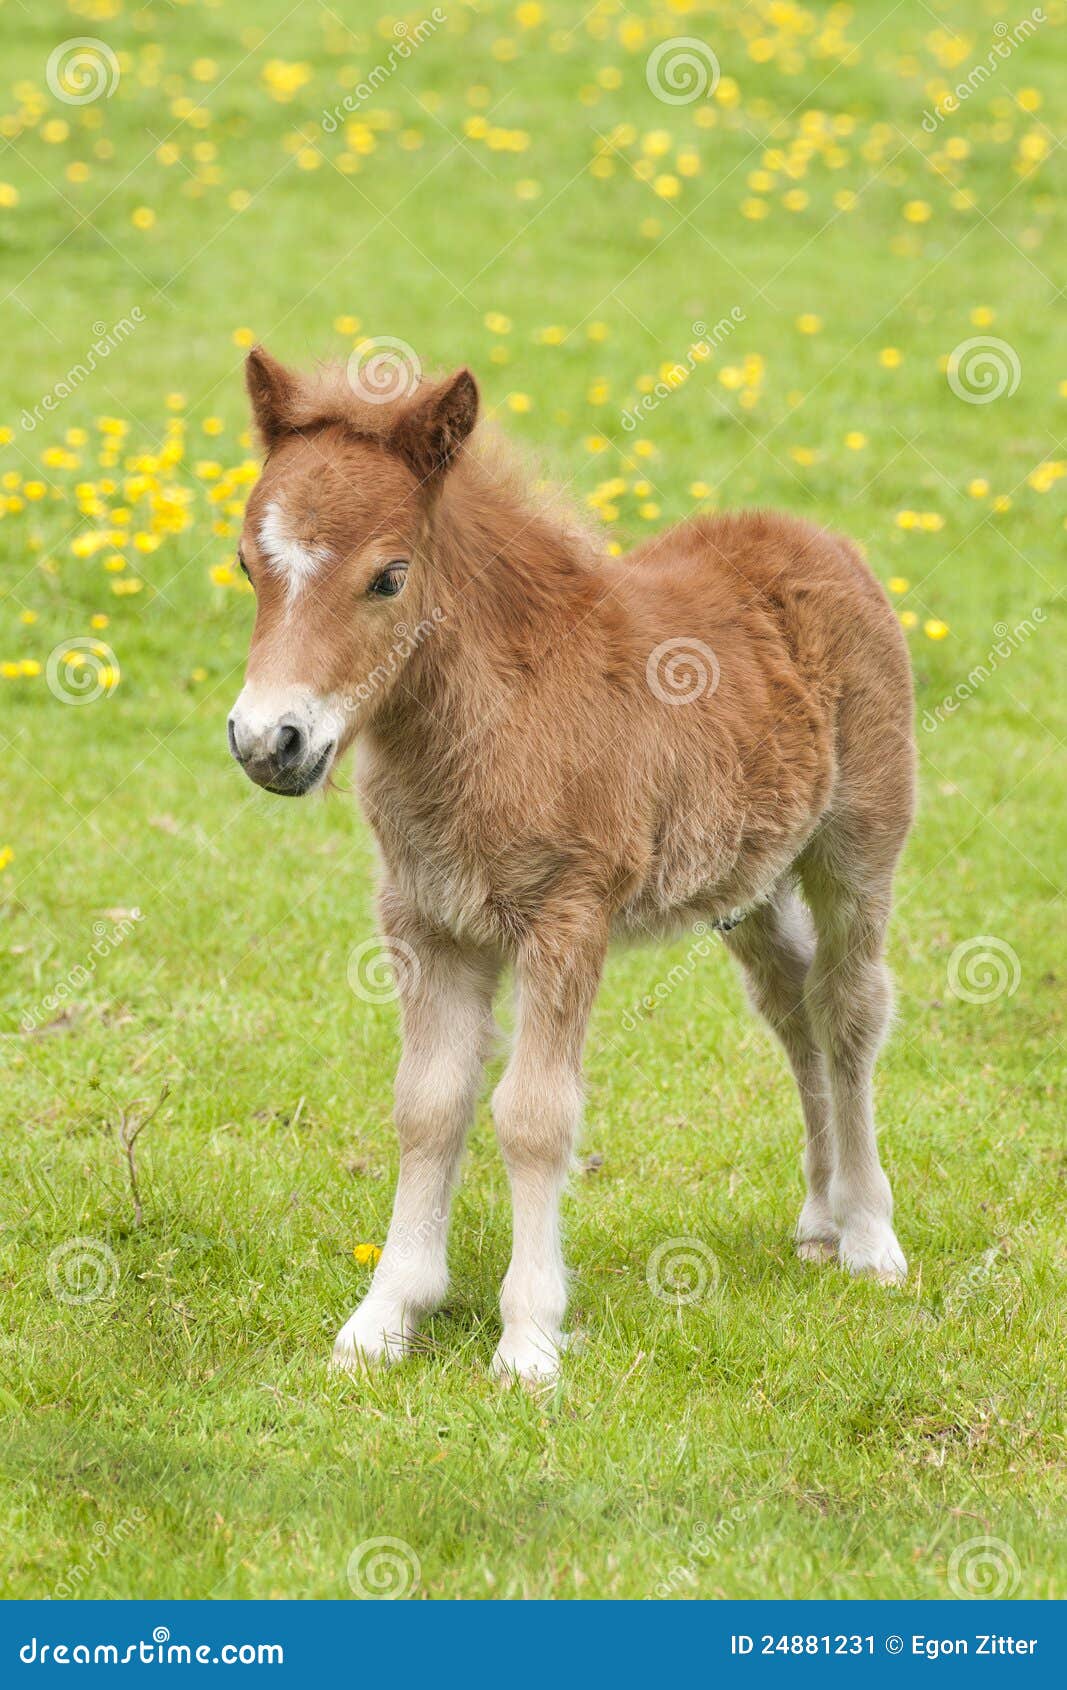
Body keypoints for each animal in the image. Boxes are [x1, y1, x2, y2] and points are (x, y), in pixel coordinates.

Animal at [227, 345, 915, 1381]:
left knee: (848, 1011)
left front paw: (527, 1341)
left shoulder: (567, 917)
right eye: (246, 562)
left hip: (856, 849)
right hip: (745, 884)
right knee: (792, 1007)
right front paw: (384, 1319)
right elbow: (427, 1105)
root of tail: (819, 539)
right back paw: (819, 1220)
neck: (494, 717)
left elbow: (533, 1116)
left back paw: (870, 1236)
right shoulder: (426, 922)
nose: (269, 742)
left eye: (388, 577)